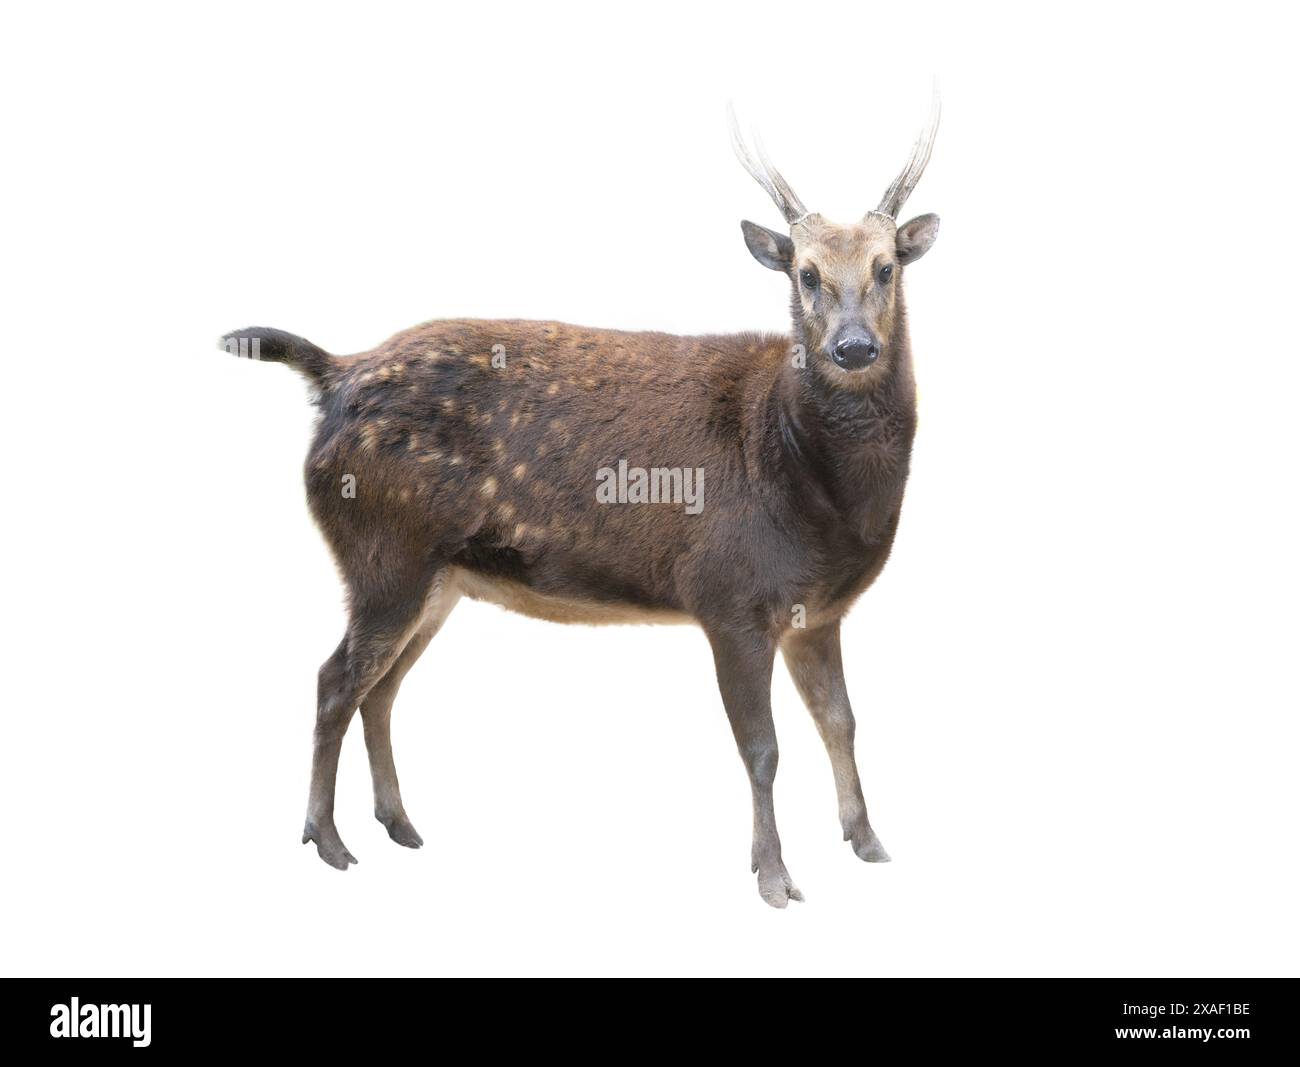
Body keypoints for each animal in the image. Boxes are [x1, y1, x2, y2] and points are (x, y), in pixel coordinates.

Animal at [221, 99, 940, 907]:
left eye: (886, 266)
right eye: (806, 273)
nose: (854, 348)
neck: (817, 496)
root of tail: (332, 375)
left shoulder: (817, 611)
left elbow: (842, 722)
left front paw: (869, 840)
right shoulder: (727, 593)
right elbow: (763, 748)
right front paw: (775, 878)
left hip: (435, 578)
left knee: (381, 690)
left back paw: (398, 823)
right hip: (382, 554)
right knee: (334, 681)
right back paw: (327, 839)